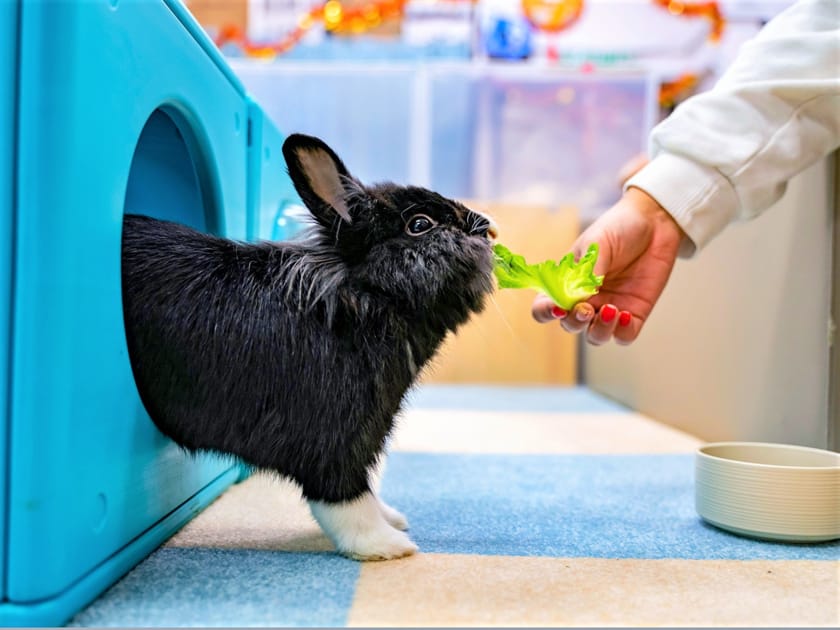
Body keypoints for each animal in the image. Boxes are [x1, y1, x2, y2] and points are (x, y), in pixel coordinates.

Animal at [121, 133, 498, 561]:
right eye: (420, 224)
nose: (487, 226)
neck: (363, 299)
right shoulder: (336, 439)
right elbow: (345, 498)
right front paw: (387, 545)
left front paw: (392, 519)